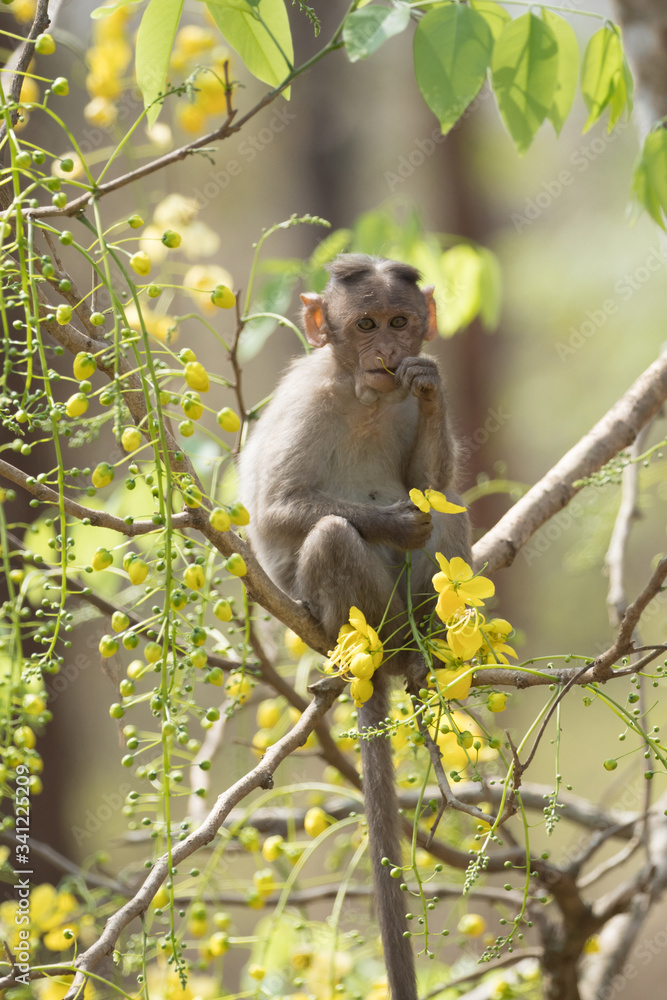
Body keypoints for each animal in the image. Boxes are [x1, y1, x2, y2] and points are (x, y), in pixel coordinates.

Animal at [239, 254, 471, 1000]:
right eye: (364, 325)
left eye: (399, 322)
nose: (386, 353)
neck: (364, 396)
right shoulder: (307, 401)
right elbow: (277, 512)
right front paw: (395, 521)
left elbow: (431, 478)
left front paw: (429, 386)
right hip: (344, 615)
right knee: (332, 537)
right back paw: (381, 653)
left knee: (447, 507)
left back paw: (431, 647)